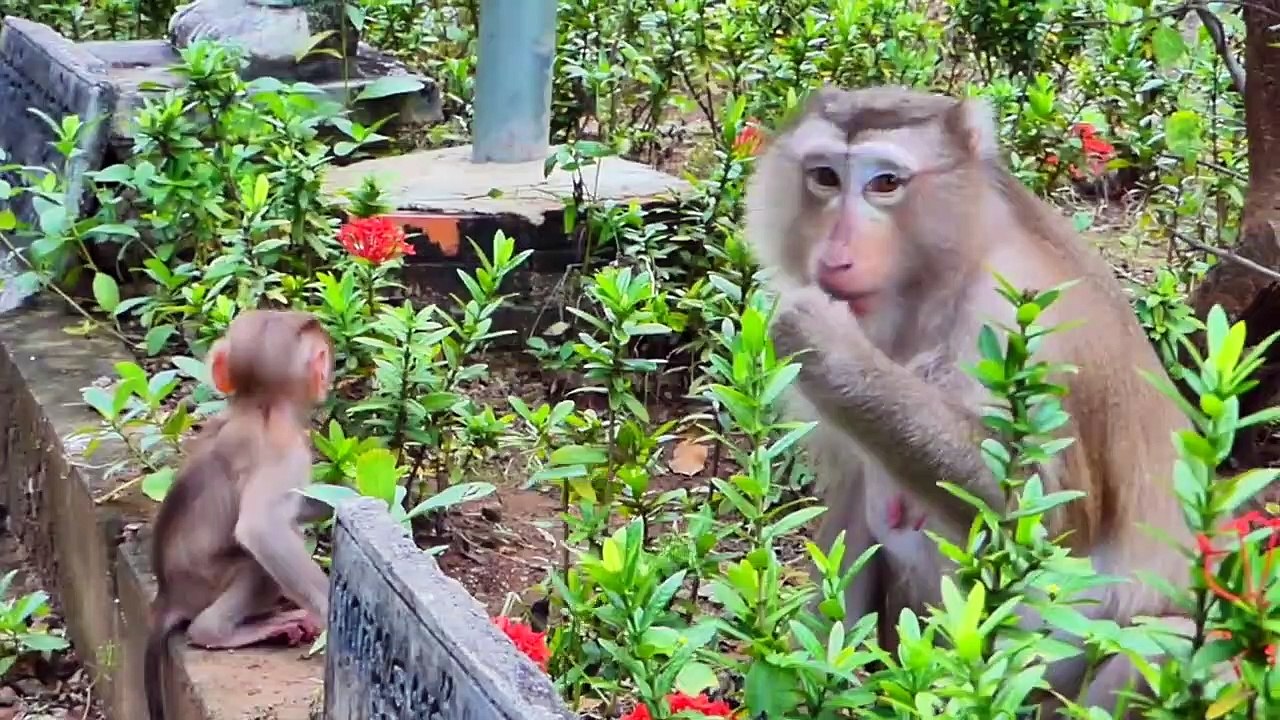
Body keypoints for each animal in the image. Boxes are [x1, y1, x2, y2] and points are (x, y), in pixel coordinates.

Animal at [144, 310, 335, 720]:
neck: (256, 405)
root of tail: (167, 595)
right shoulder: (286, 448)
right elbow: (262, 528)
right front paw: (333, 614)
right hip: (205, 585)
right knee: (253, 565)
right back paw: (223, 631)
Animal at [744, 86, 1204, 716]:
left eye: (885, 183)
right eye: (824, 177)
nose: (835, 257)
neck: (941, 280)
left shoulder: (1023, 325)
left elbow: (1038, 517)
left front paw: (834, 352)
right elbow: (850, 517)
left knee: (1166, 643)